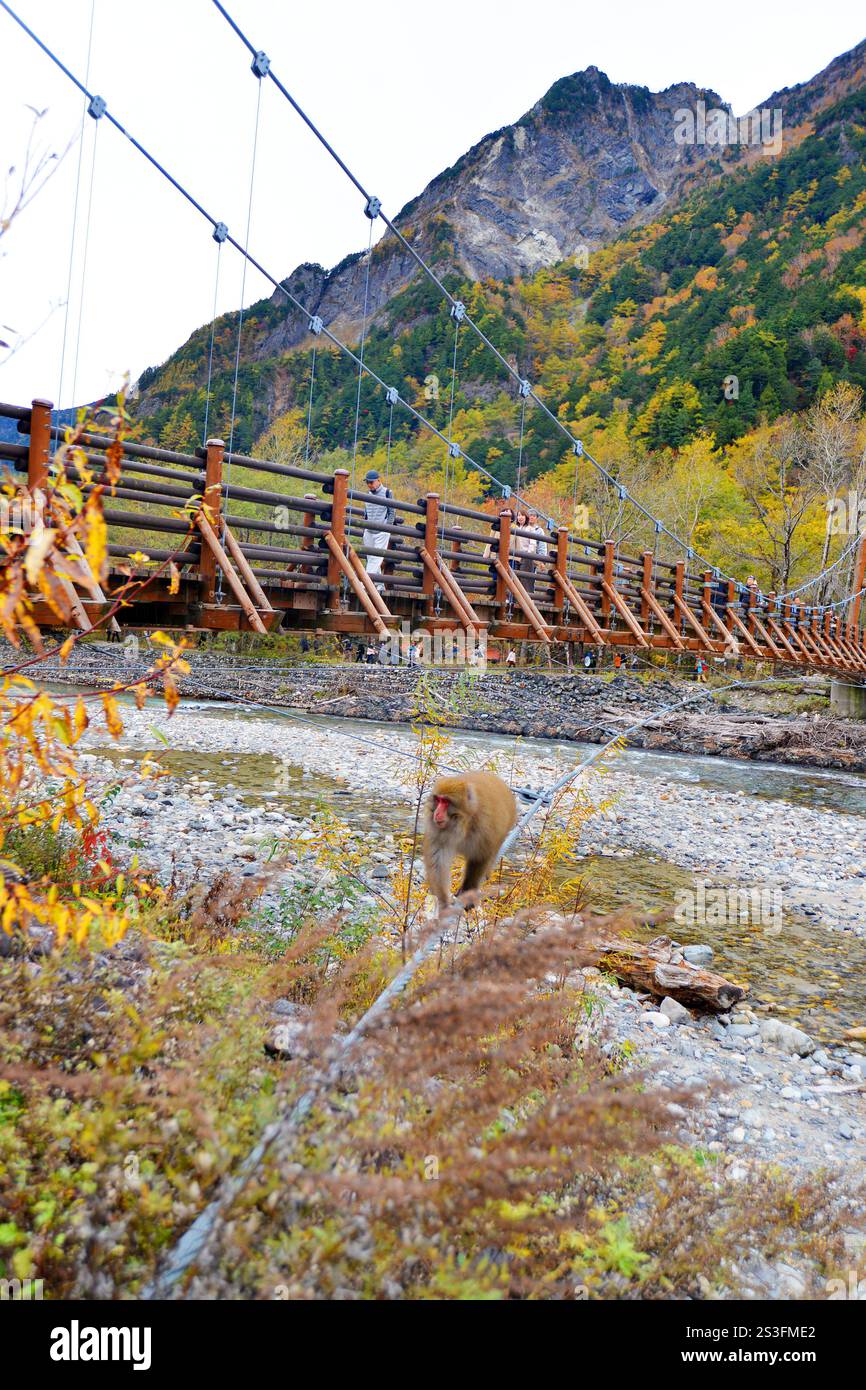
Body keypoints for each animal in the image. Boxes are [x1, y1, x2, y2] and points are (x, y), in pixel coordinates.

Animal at [423, 770, 517, 911]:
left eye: (445, 801)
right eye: (438, 800)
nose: (437, 813)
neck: (463, 823)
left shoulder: (484, 829)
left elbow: (479, 858)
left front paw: (468, 894)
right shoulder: (438, 832)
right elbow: (437, 862)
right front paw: (443, 900)